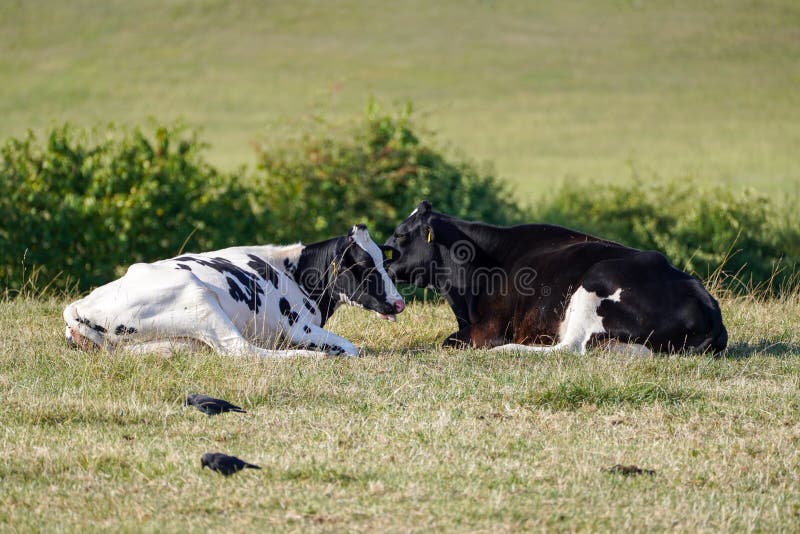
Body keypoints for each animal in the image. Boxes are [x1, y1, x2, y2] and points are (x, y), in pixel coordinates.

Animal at [63, 224, 405, 358]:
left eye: (382, 260)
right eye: (363, 265)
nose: (399, 303)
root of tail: (80, 306)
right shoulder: (299, 327)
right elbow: (350, 348)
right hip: (199, 299)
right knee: (244, 352)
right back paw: (309, 357)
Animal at [384, 201, 727, 355]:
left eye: (400, 235)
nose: (382, 262)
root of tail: (705, 303)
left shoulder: (488, 328)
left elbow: (448, 342)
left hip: (594, 281)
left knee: (569, 347)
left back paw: (508, 350)